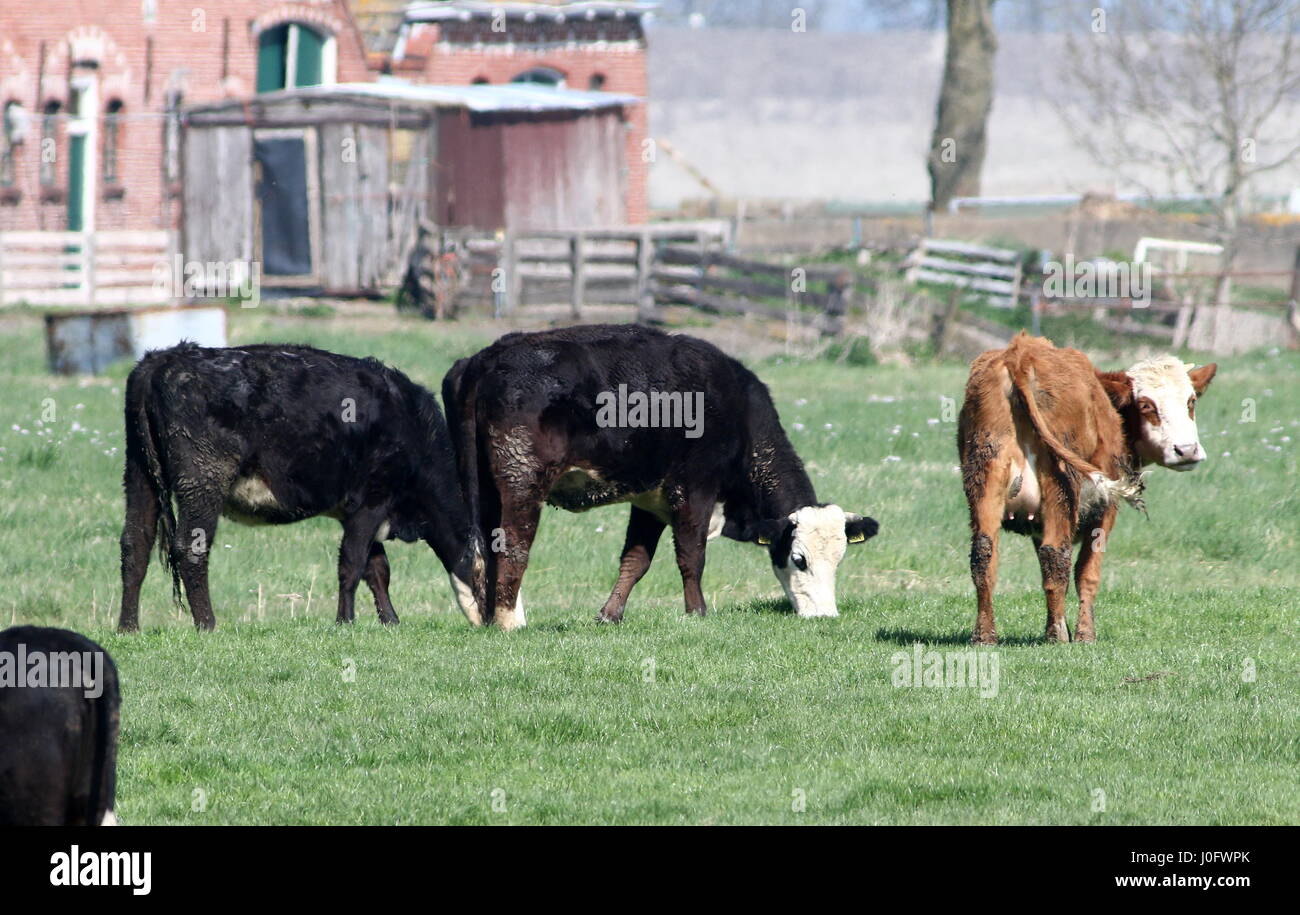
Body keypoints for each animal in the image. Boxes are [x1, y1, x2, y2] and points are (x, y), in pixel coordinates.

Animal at [118, 343, 483, 632]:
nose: (494, 623)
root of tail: (166, 358)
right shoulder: (372, 500)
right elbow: (352, 564)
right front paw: (345, 621)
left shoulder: (354, 512)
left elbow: (376, 568)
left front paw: (390, 621)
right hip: (202, 481)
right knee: (190, 548)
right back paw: (207, 624)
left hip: (139, 474)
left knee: (135, 544)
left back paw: (128, 627)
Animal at [442, 324, 878, 630]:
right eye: (799, 559)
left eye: (840, 559)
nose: (824, 616)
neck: (735, 407)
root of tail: (486, 358)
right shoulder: (695, 488)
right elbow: (691, 555)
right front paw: (697, 612)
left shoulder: (648, 499)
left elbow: (636, 561)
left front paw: (610, 615)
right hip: (522, 484)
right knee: (512, 548)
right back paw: (510, 622)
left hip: (483, 489)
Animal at [957, 332, 1217, 644]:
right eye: (1146, 405)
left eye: (1191, 401)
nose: (1186, 450)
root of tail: (1020, 354)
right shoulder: (1104, 509)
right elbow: (1086, 572)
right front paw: (1084, 633)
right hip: (1060, 485)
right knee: (1055, 553)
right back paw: (1057, 636)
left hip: (985, 478)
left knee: (984, 555)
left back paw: (985, 635)